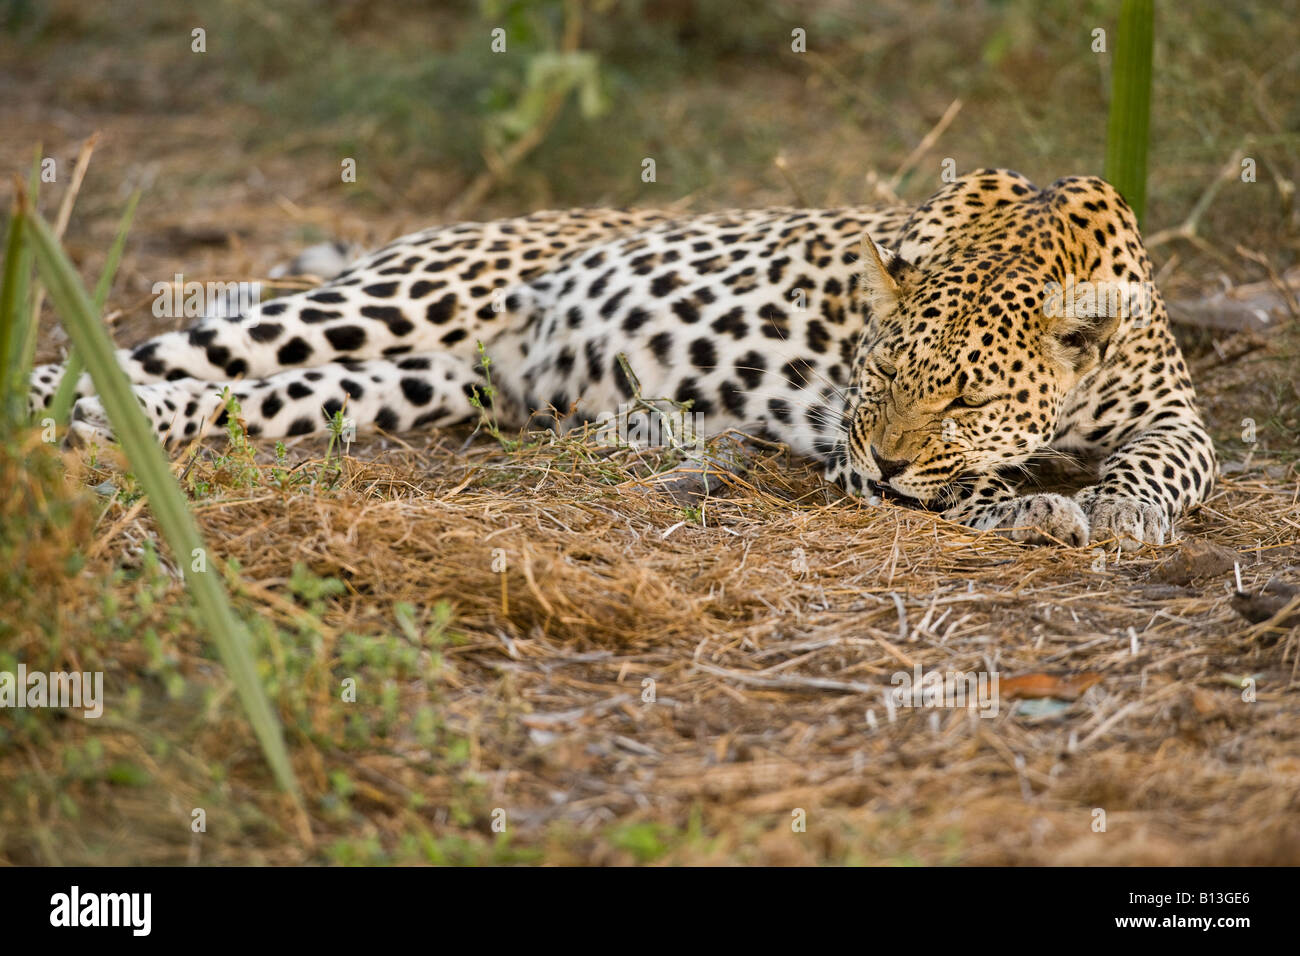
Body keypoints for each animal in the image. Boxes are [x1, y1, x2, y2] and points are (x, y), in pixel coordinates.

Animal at [28, 168, 1217, 549]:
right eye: (878, 382)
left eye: (965, 395)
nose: (883, 458)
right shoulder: (849, 441)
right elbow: (953, 488)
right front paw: (1034, 506)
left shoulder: (1174, 408)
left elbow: (1172, 461)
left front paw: (1124, 507)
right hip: (389, 299)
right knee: (128, 358)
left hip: (404, 380)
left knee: (225, 395)